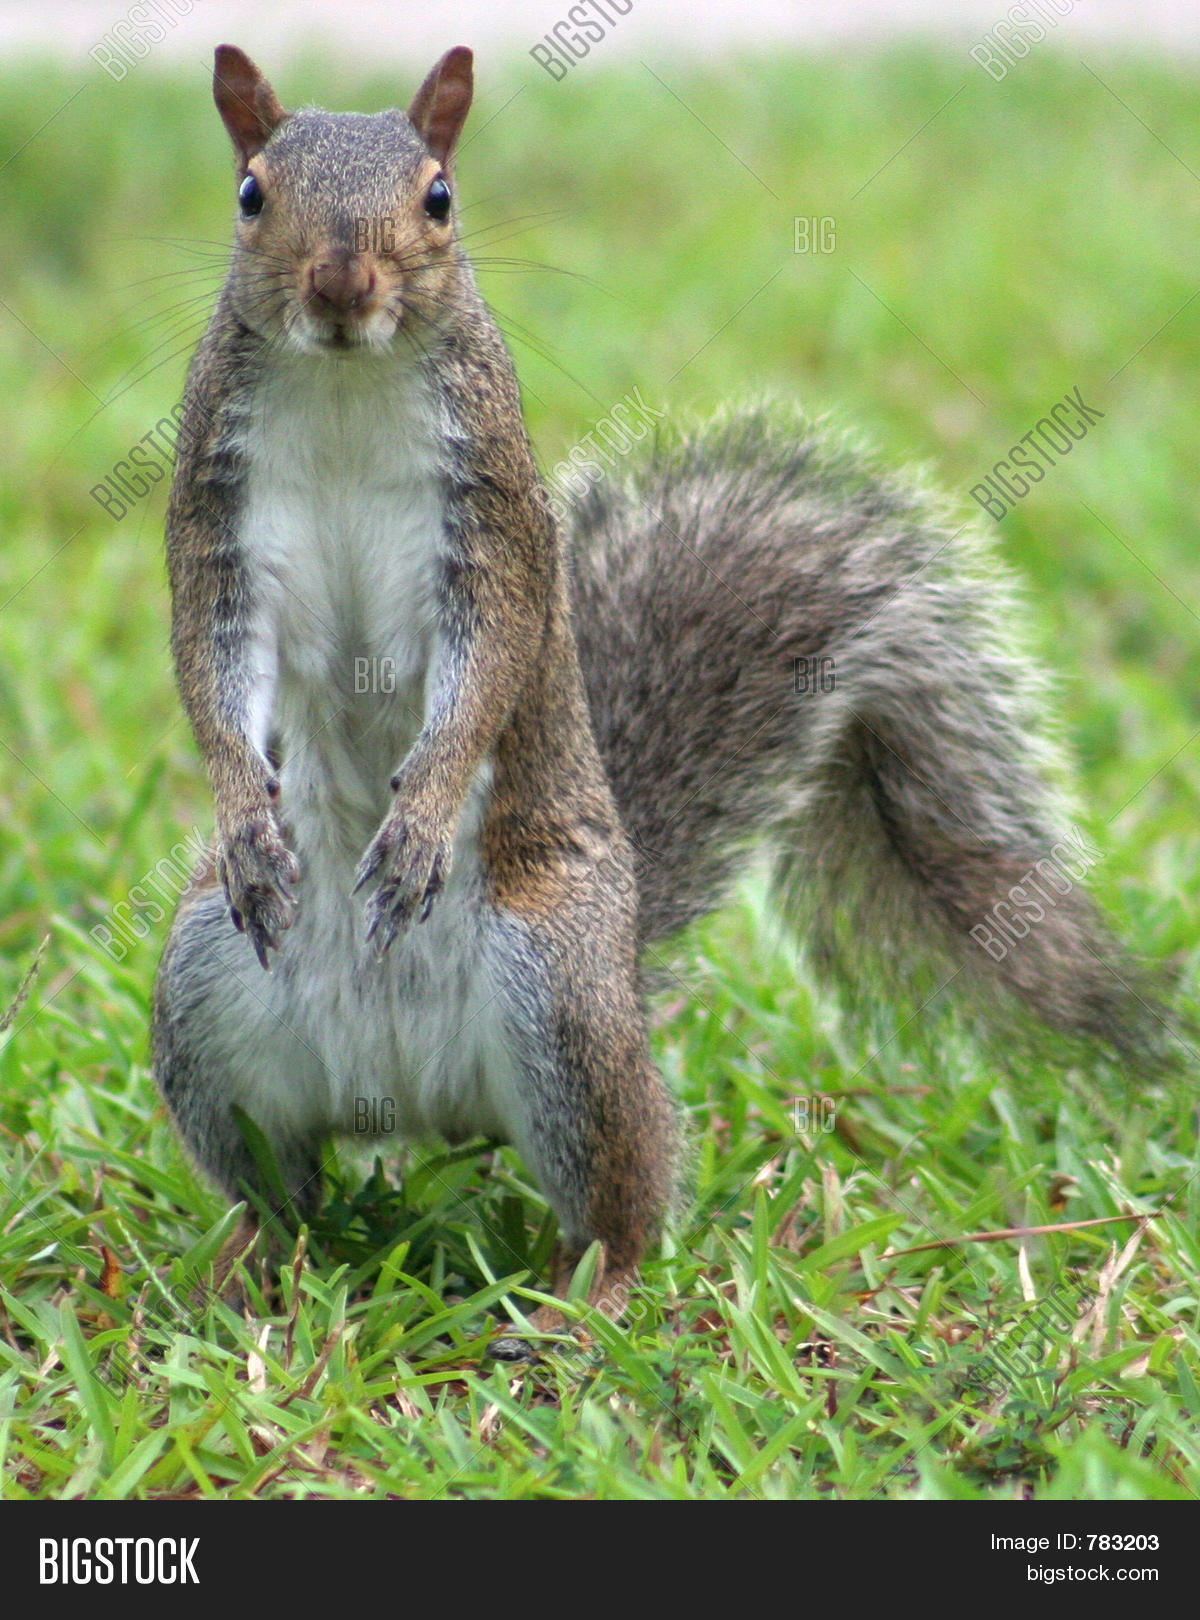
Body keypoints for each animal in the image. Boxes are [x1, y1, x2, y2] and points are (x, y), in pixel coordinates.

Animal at [153, 44, 1180, 1326]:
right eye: (251, 195)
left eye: (440, 197)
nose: (341, 285)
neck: (345, 389)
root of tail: (408, 1102)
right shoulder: (217, 526)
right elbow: (212, 670)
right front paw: (247, 814)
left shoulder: (493, 534)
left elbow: (486, 677)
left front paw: (422, 817)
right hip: (205, 998)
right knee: (279, 1188)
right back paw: (250, 1268)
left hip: (563, 1003)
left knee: (625, 1188)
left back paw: (585, 1302)